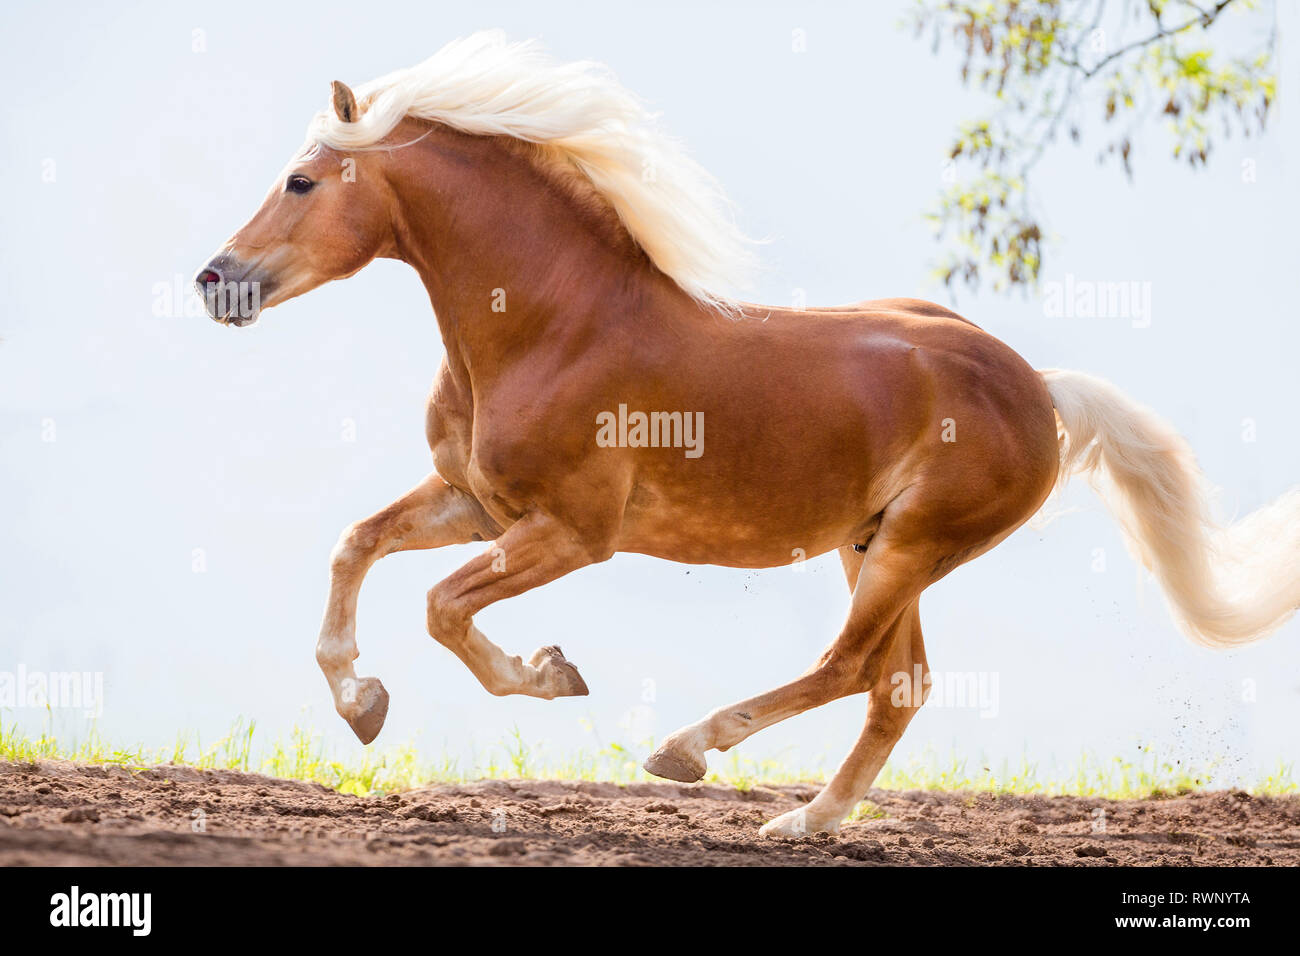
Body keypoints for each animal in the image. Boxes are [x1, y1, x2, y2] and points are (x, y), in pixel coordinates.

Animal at [195, 32, 1300, 838]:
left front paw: (548, 675)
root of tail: (1042, 391)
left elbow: (440, 607)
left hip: (912, 544)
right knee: (898, 686)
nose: (213, 281)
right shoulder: (475, 503)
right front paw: (361, 700)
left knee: (849, 667)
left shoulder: (571, 533)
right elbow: (356, 546)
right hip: (875, 544)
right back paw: (804, 822)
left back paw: (687, 751)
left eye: (300, 182)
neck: (551, 324)